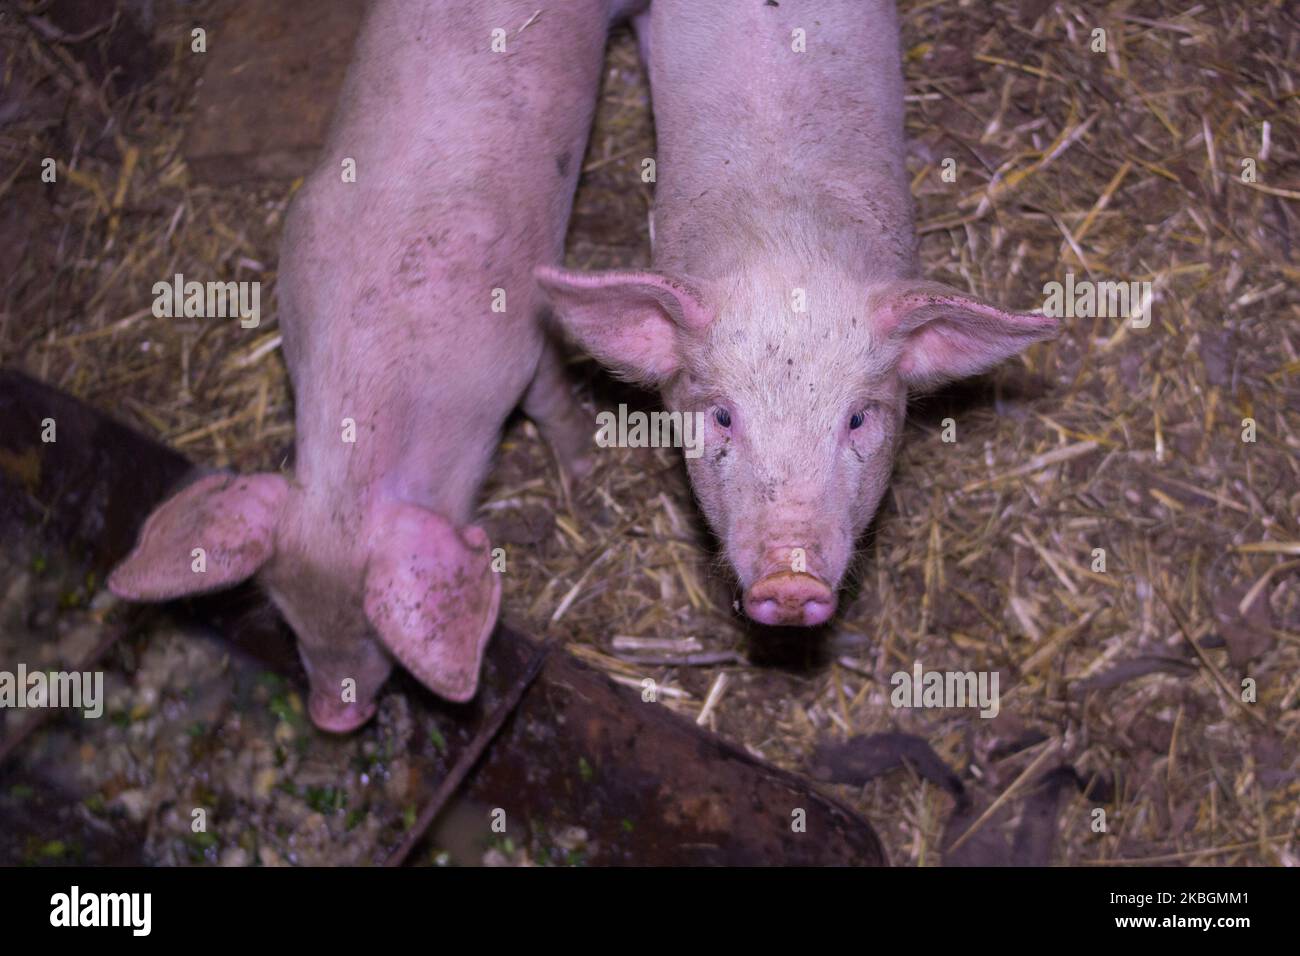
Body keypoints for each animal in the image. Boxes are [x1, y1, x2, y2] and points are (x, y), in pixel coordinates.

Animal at [109, 0, 640, 731]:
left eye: (374, 634)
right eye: (289, 620)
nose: (332, 717)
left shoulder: (521, 340)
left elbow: (550, 398)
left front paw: (585, 474)